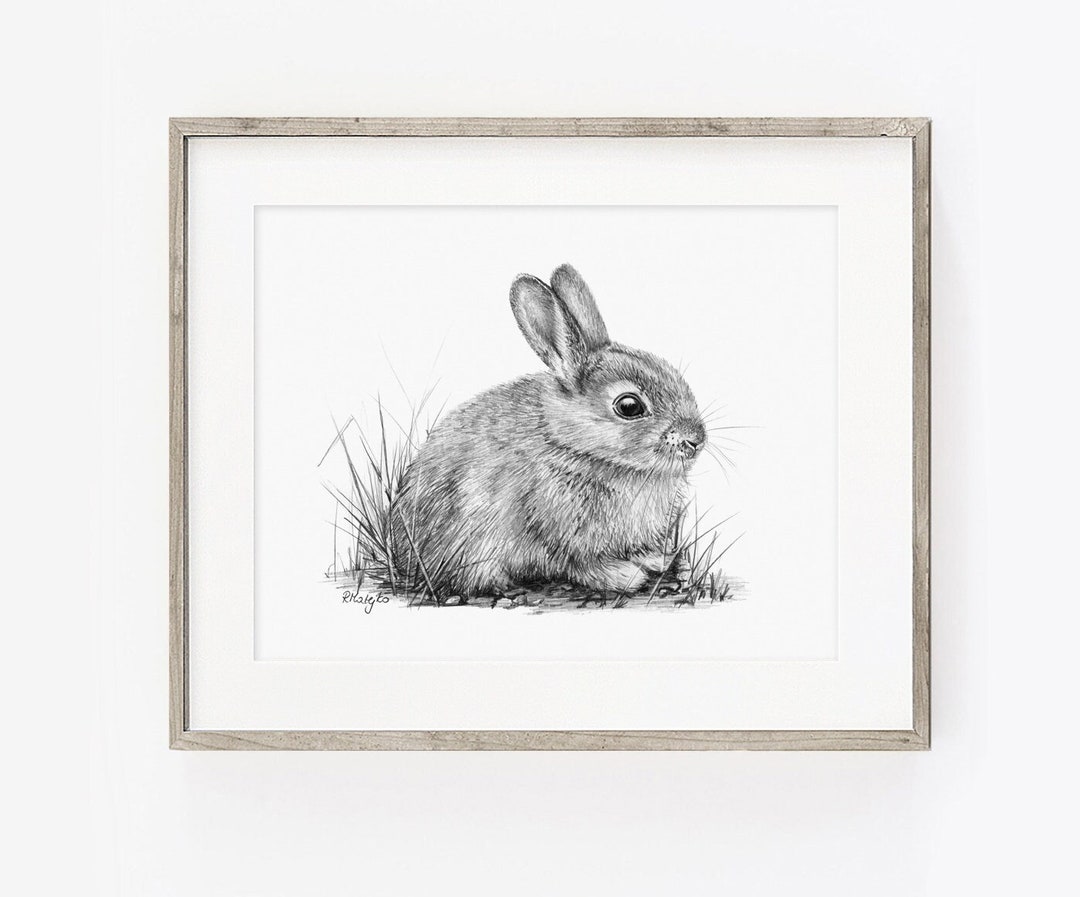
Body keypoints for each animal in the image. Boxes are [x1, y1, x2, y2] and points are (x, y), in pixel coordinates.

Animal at [389, 263, 707, 596]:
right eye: (629, 406)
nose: (696, 439)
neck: (575, 445)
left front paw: (657, 560)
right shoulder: (558, 533)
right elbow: (579, 564)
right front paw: (624, 577)